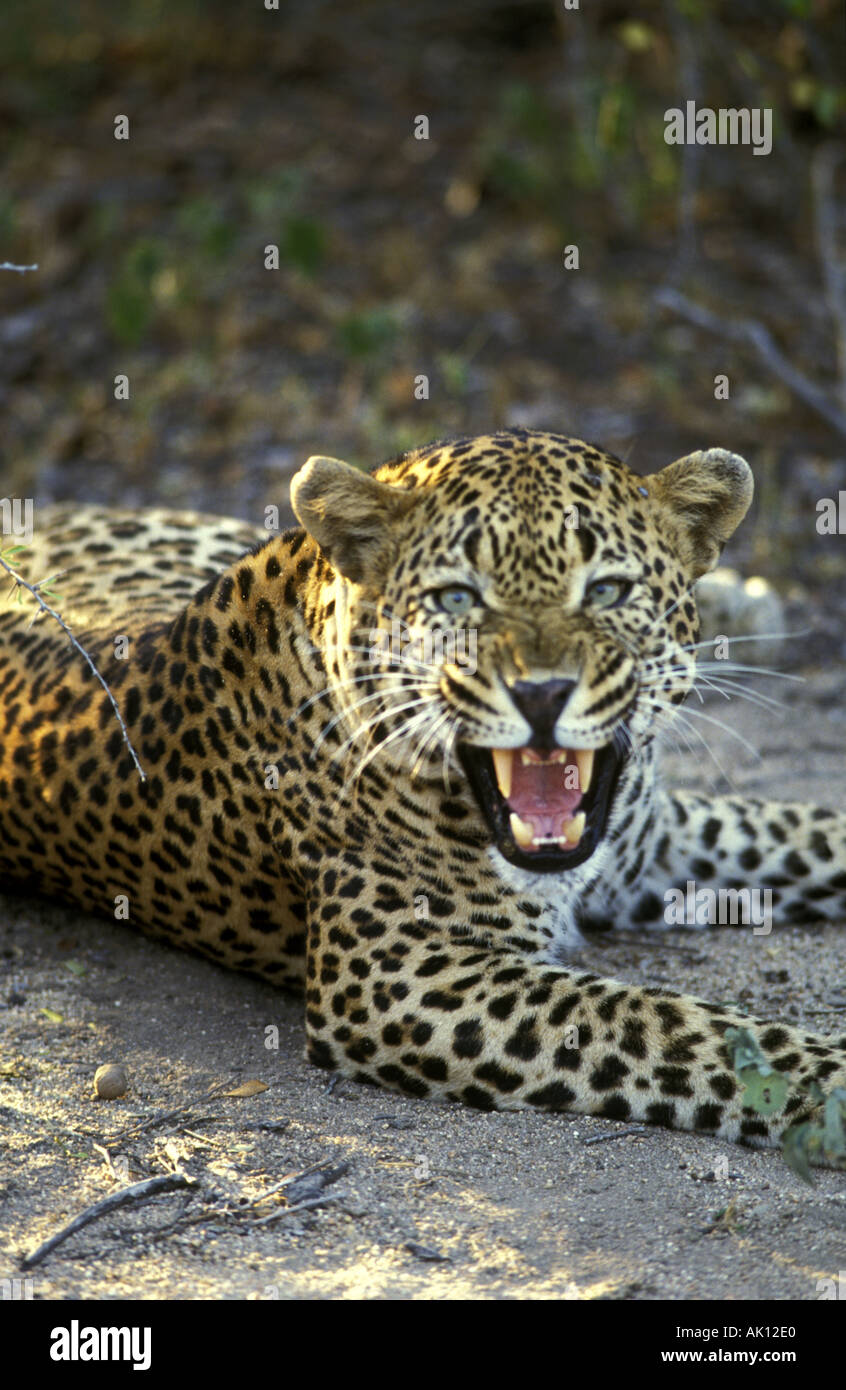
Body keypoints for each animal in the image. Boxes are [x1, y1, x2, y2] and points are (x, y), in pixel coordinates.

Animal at [1, 429, 845, 1162]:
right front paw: (832, 1083)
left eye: (607, 589)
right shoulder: (398, 976)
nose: (542, 693)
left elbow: (812, 833)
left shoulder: (654, 839)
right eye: (457, 598)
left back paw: (748, 596)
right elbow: (665, 1023)